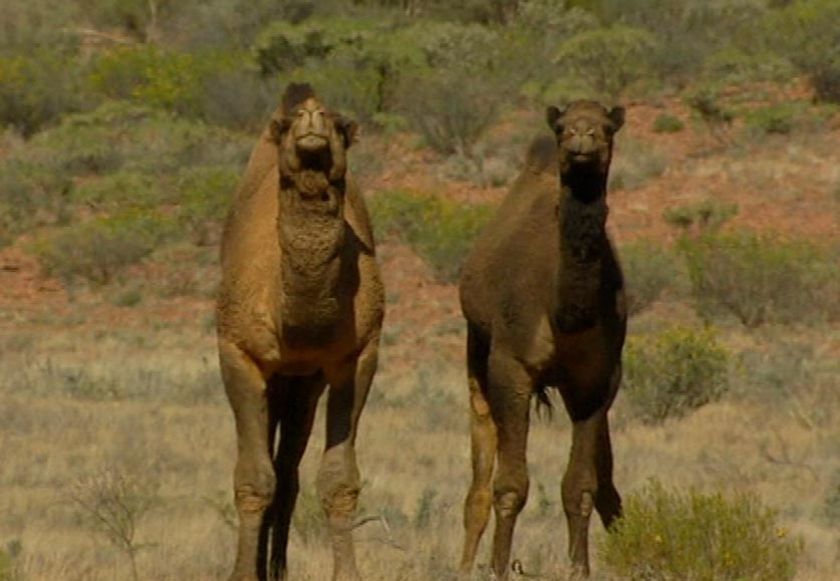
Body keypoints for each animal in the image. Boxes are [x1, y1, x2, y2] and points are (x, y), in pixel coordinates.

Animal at [216, 83, 384, 581]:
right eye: (287, 125)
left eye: (338, 122)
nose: (312, 117)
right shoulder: (237, 352)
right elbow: (253, 478)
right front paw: (241, 575)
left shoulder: (357, 355)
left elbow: (338, 480)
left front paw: (347, 575)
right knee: (274, 467)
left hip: (302, 384)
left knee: (288, 469)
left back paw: (278, 568)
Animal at [457, 101, 627, 580]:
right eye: (562, 126)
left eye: (607, 127)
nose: (582, 136)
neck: (561, 311)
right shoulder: (511, 367)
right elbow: (510, 486)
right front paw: (498, 568)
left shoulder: (598, 379)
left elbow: (581, 486)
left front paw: (580, 569)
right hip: (477, 349)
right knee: (480, 464)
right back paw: (464, 563)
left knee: (605, 476)